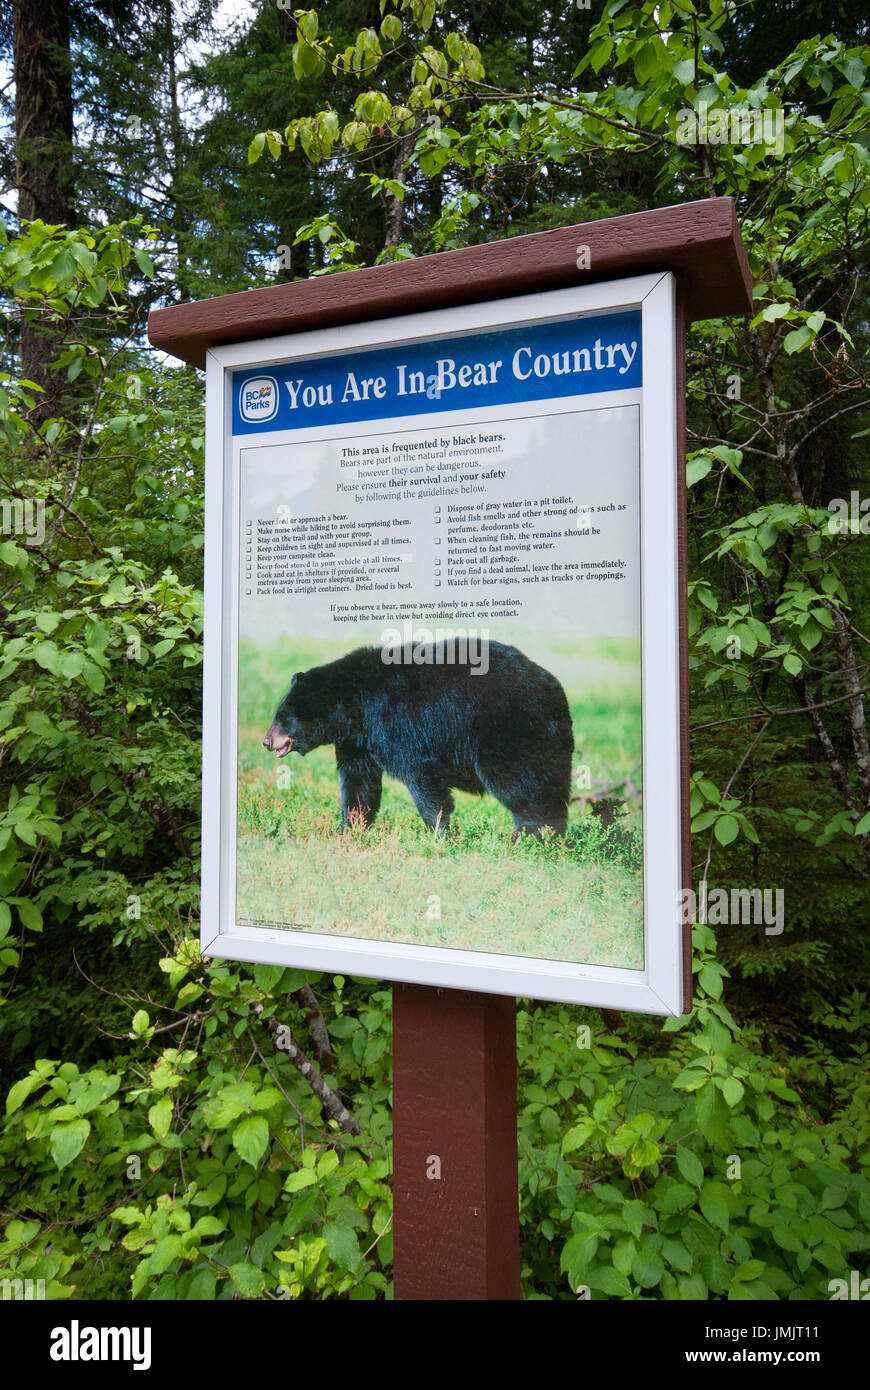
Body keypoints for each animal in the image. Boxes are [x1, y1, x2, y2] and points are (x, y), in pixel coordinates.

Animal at [262, 638, 574, 840]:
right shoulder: (358, 742)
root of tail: (555, 688)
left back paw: (530, 836)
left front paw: (438, 834)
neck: (355, 706)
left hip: (511, 728)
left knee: (520, 783)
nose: (266, 741)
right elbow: (358, 782)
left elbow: (422, 776)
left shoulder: (399, 723)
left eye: (282, 718)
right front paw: (345, 828)